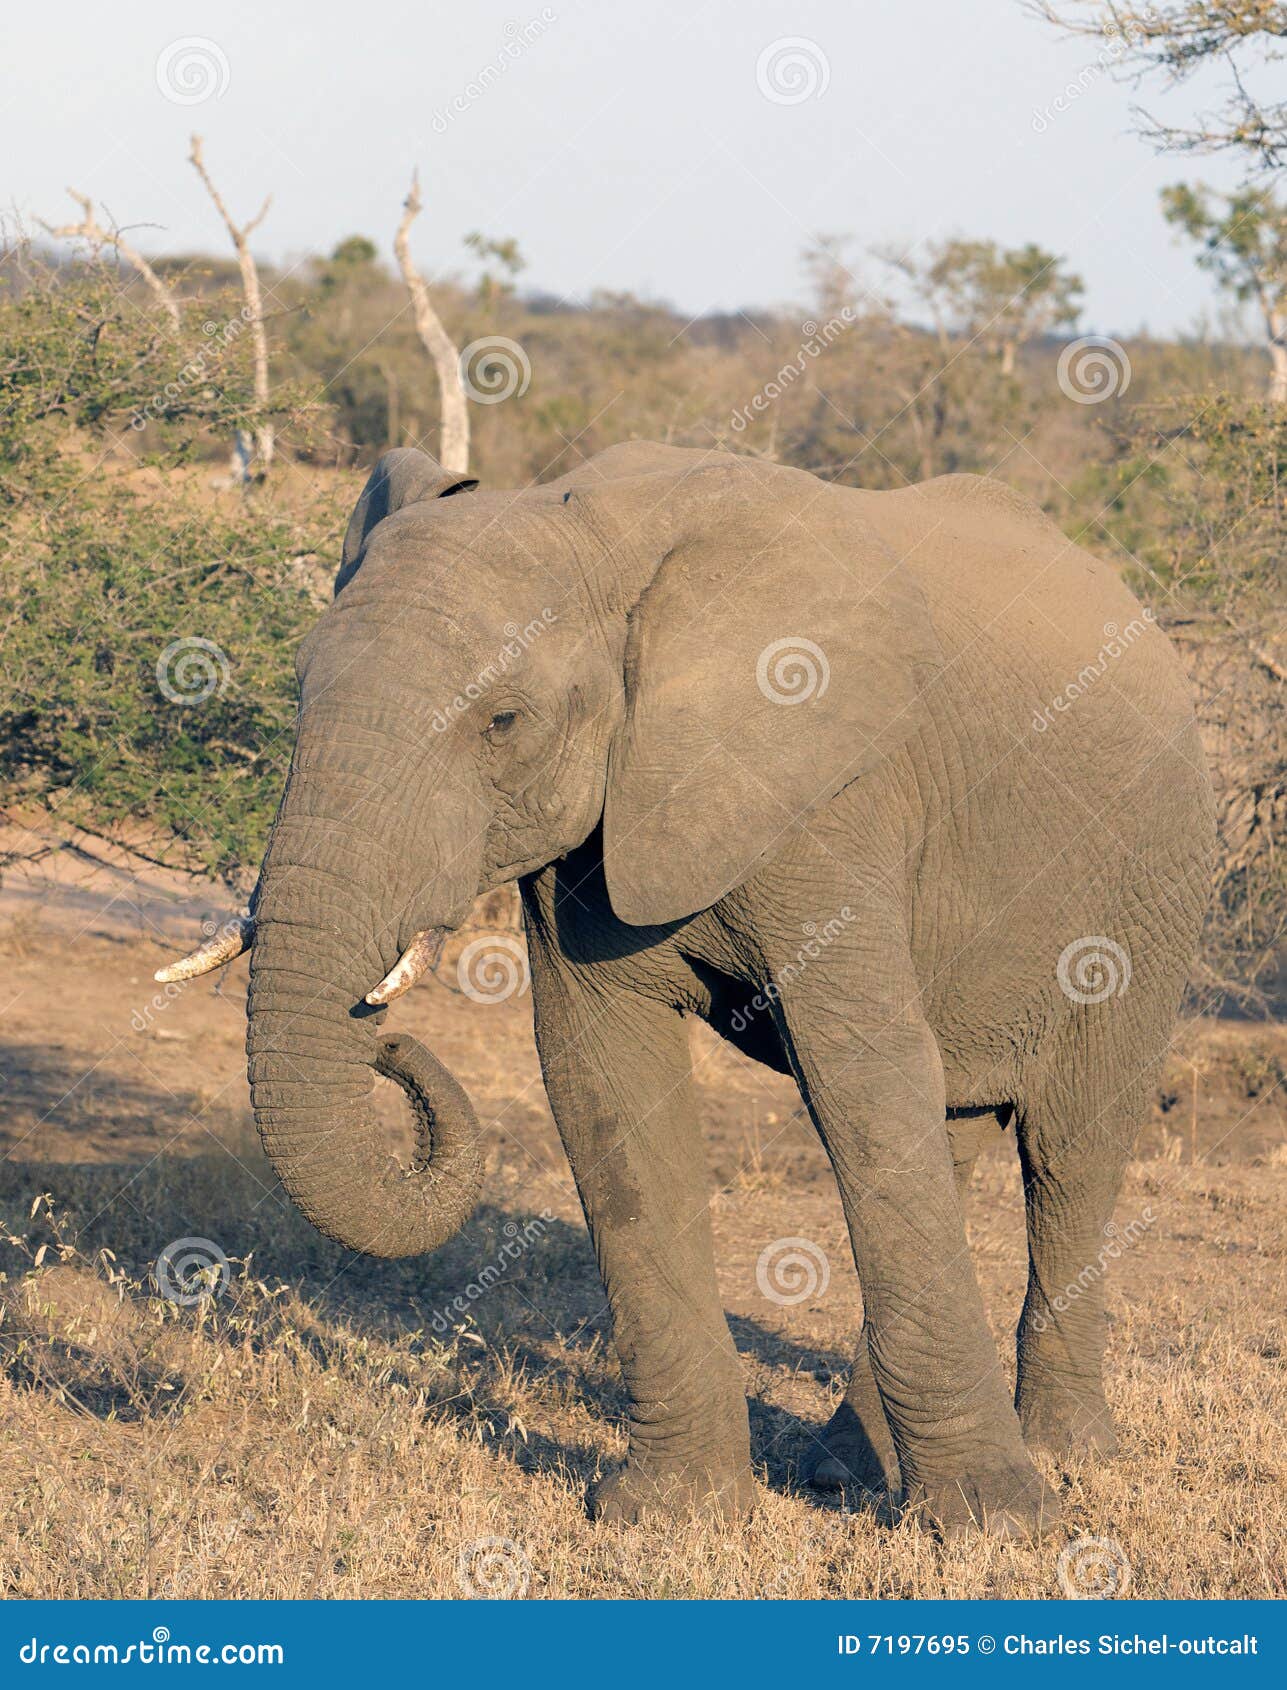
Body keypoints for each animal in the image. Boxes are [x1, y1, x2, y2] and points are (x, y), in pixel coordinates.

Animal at [158, 440, 1213, 1538]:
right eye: (299, 694)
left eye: (502, 722)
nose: (385, 1038)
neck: (603, 544)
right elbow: (603, 1081)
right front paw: (668, 1515)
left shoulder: (833, 797)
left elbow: (860, 1073)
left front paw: (994, 1527)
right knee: (952, 1132)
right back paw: (841, 1469)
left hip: (1148, 886)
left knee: (1069, 1150)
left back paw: (1062, 1456)